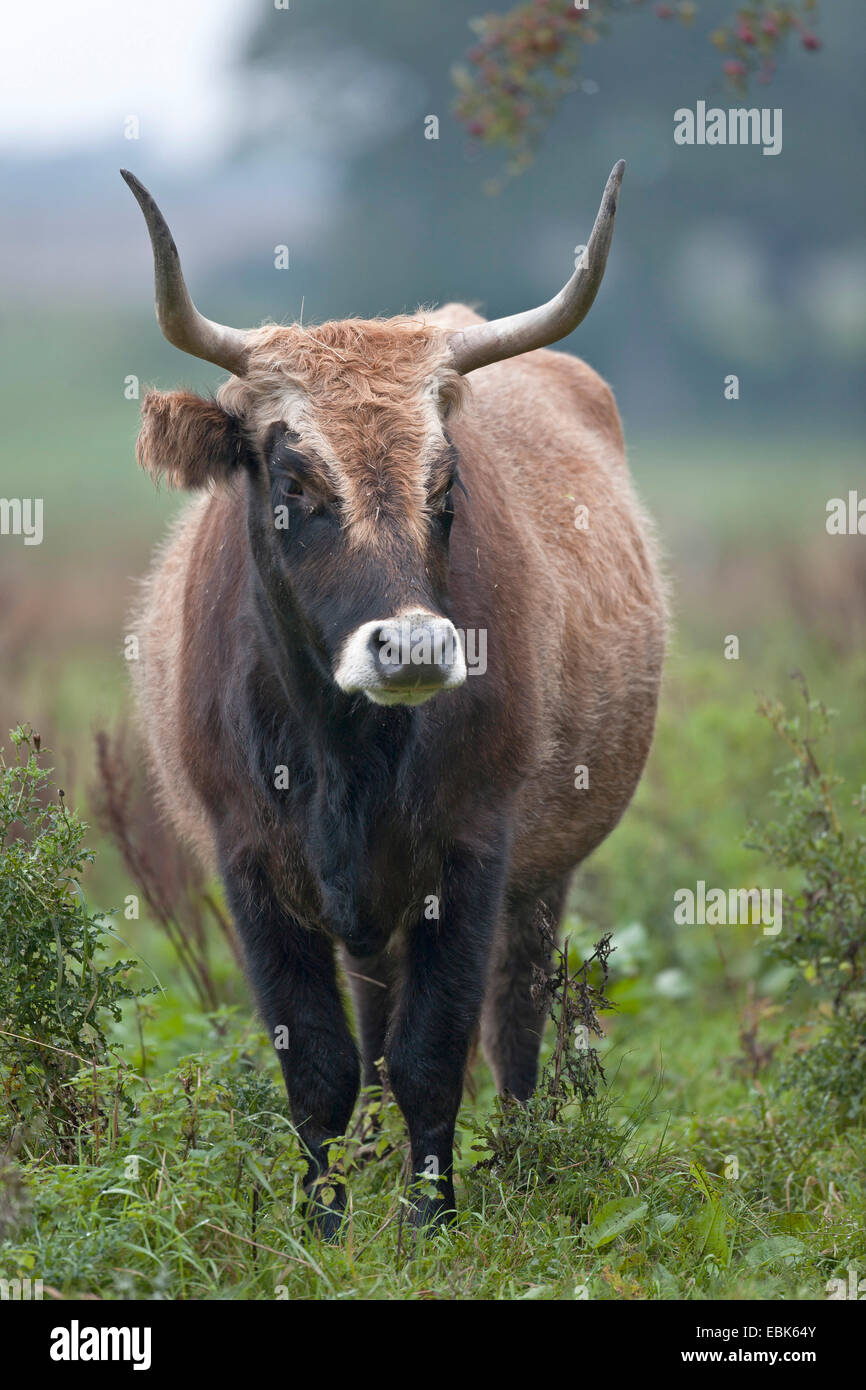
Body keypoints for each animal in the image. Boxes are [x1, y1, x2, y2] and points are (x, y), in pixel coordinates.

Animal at [122, 162, 666, 1235]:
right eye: (292, 483)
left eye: (445, 488)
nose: (411, 644)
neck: (346, 752)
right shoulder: (250, 867)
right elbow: (322, 1066)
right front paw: (326, 1223)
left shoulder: (473, 853)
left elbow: (432, 1057)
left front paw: (432, 1220)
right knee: (375, 1024)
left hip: (538, 877)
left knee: (513, 1020)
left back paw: (521, 1153)